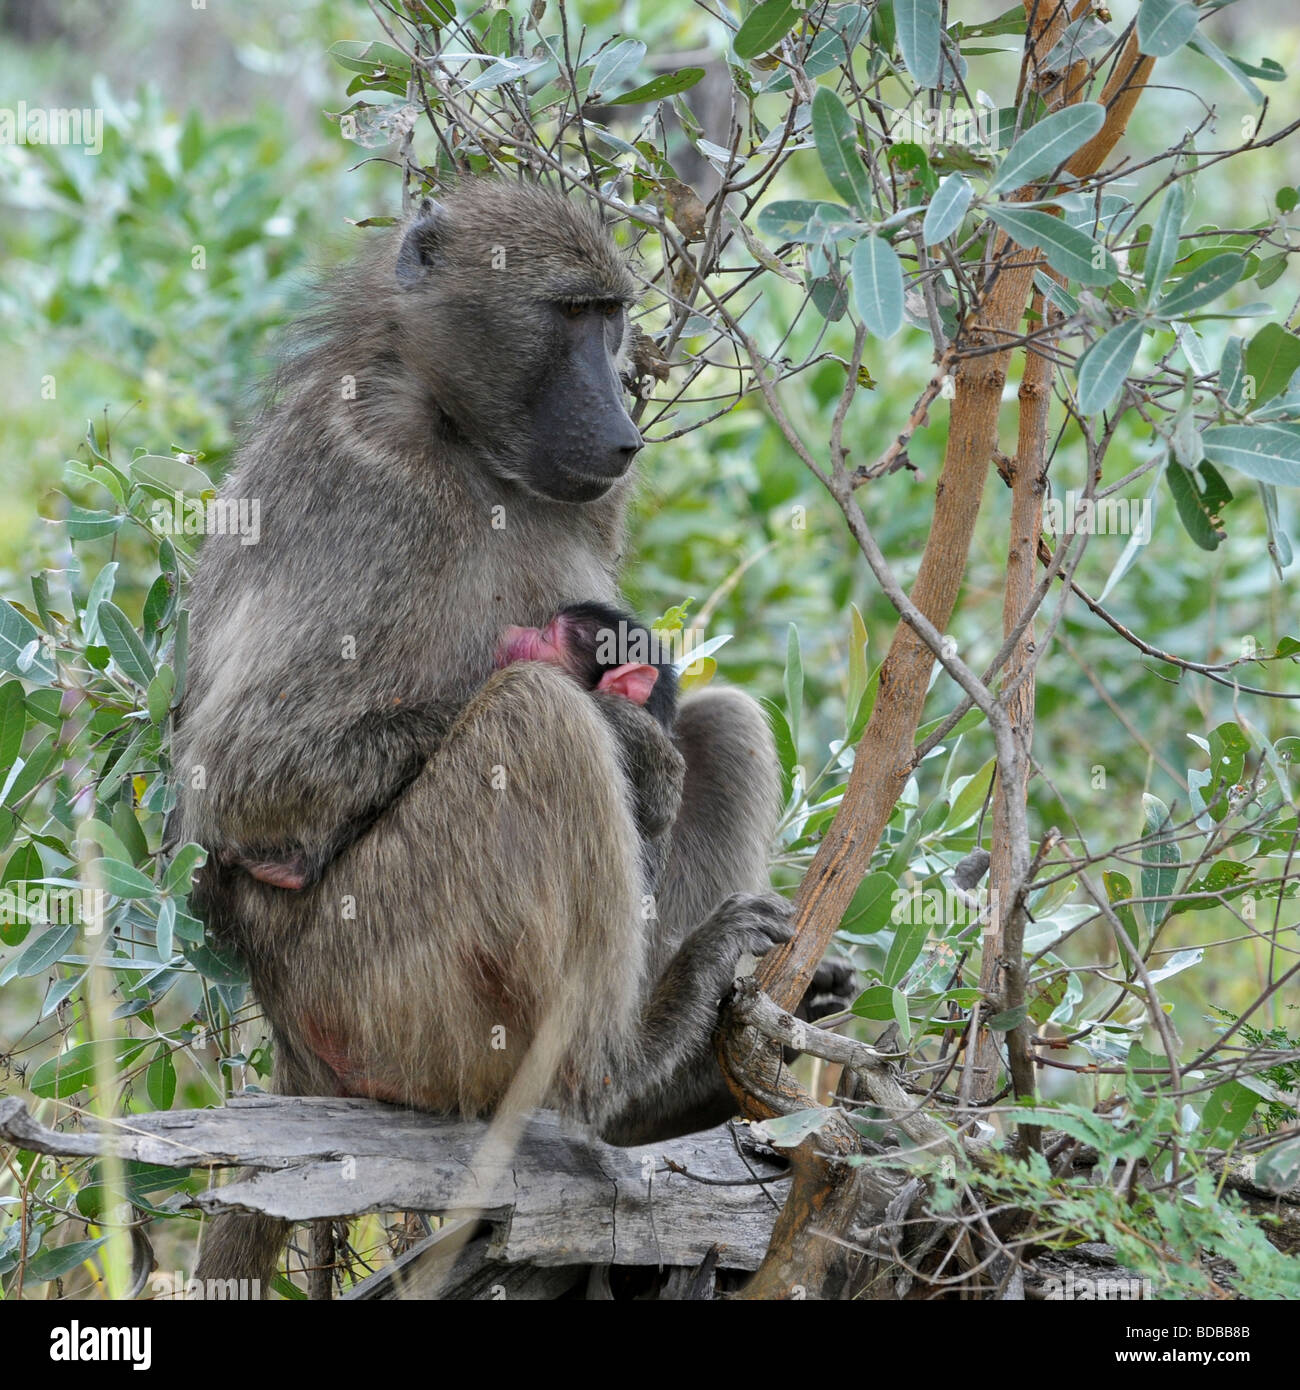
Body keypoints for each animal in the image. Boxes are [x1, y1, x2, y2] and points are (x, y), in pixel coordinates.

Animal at [170, 180, 853, 1288]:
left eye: (609, 317)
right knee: (537, 721)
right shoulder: (359, 486)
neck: (457, 436)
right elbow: (242, 782)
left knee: (730, 721)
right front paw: (623, 729)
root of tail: (295, 1050)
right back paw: (634, 1058)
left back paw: (677, 1084)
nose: (622, 432)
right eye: (568, 314)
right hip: (382, 1002)